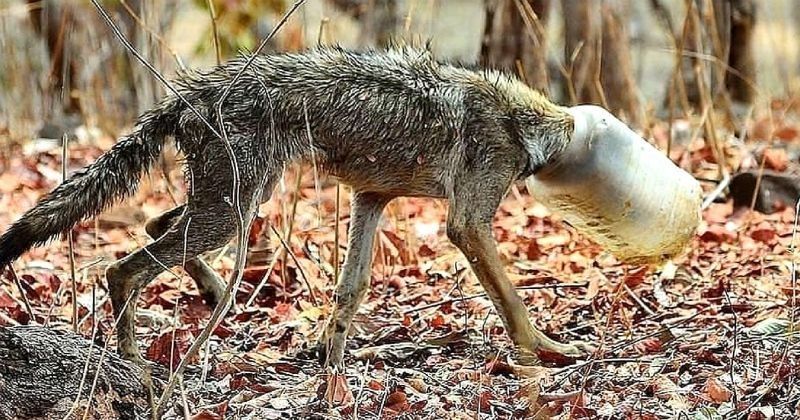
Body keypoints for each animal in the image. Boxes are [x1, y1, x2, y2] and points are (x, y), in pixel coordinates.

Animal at [0, 46, 592, 367]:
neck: (521, 123)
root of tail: (190, 93)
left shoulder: (371, 198)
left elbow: (351, 290)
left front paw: (330, 361)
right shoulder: (467, 225)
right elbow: (512, 301)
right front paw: (548, 349)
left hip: (235, 204)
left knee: (153, 225)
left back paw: (214, 293)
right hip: (230, 212)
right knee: (124, 270)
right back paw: (136, 368)